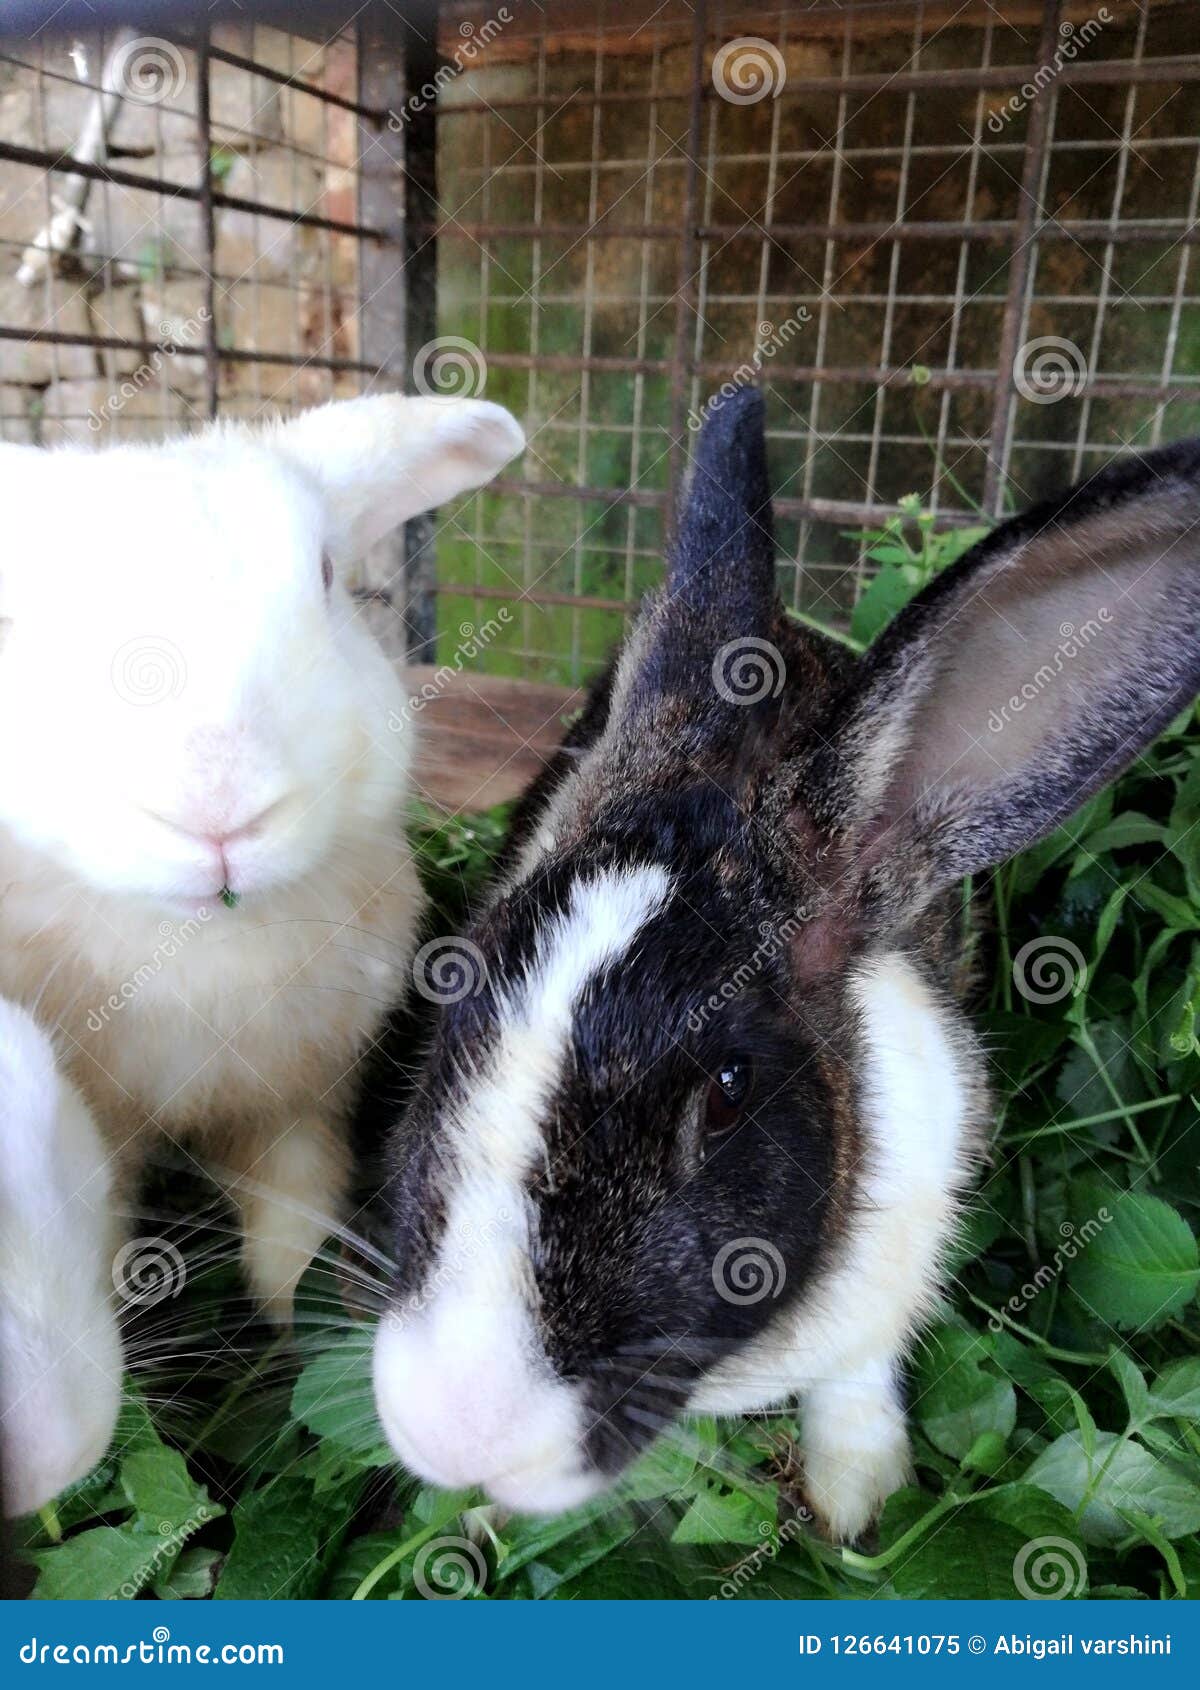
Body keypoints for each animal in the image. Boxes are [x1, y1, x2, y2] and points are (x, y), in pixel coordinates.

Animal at [0, 393, 524, 1319]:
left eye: (326, 574)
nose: (221, 813)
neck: (197, 948)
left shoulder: (300, 1110)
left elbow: (290, 1242)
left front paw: (282, 1330)